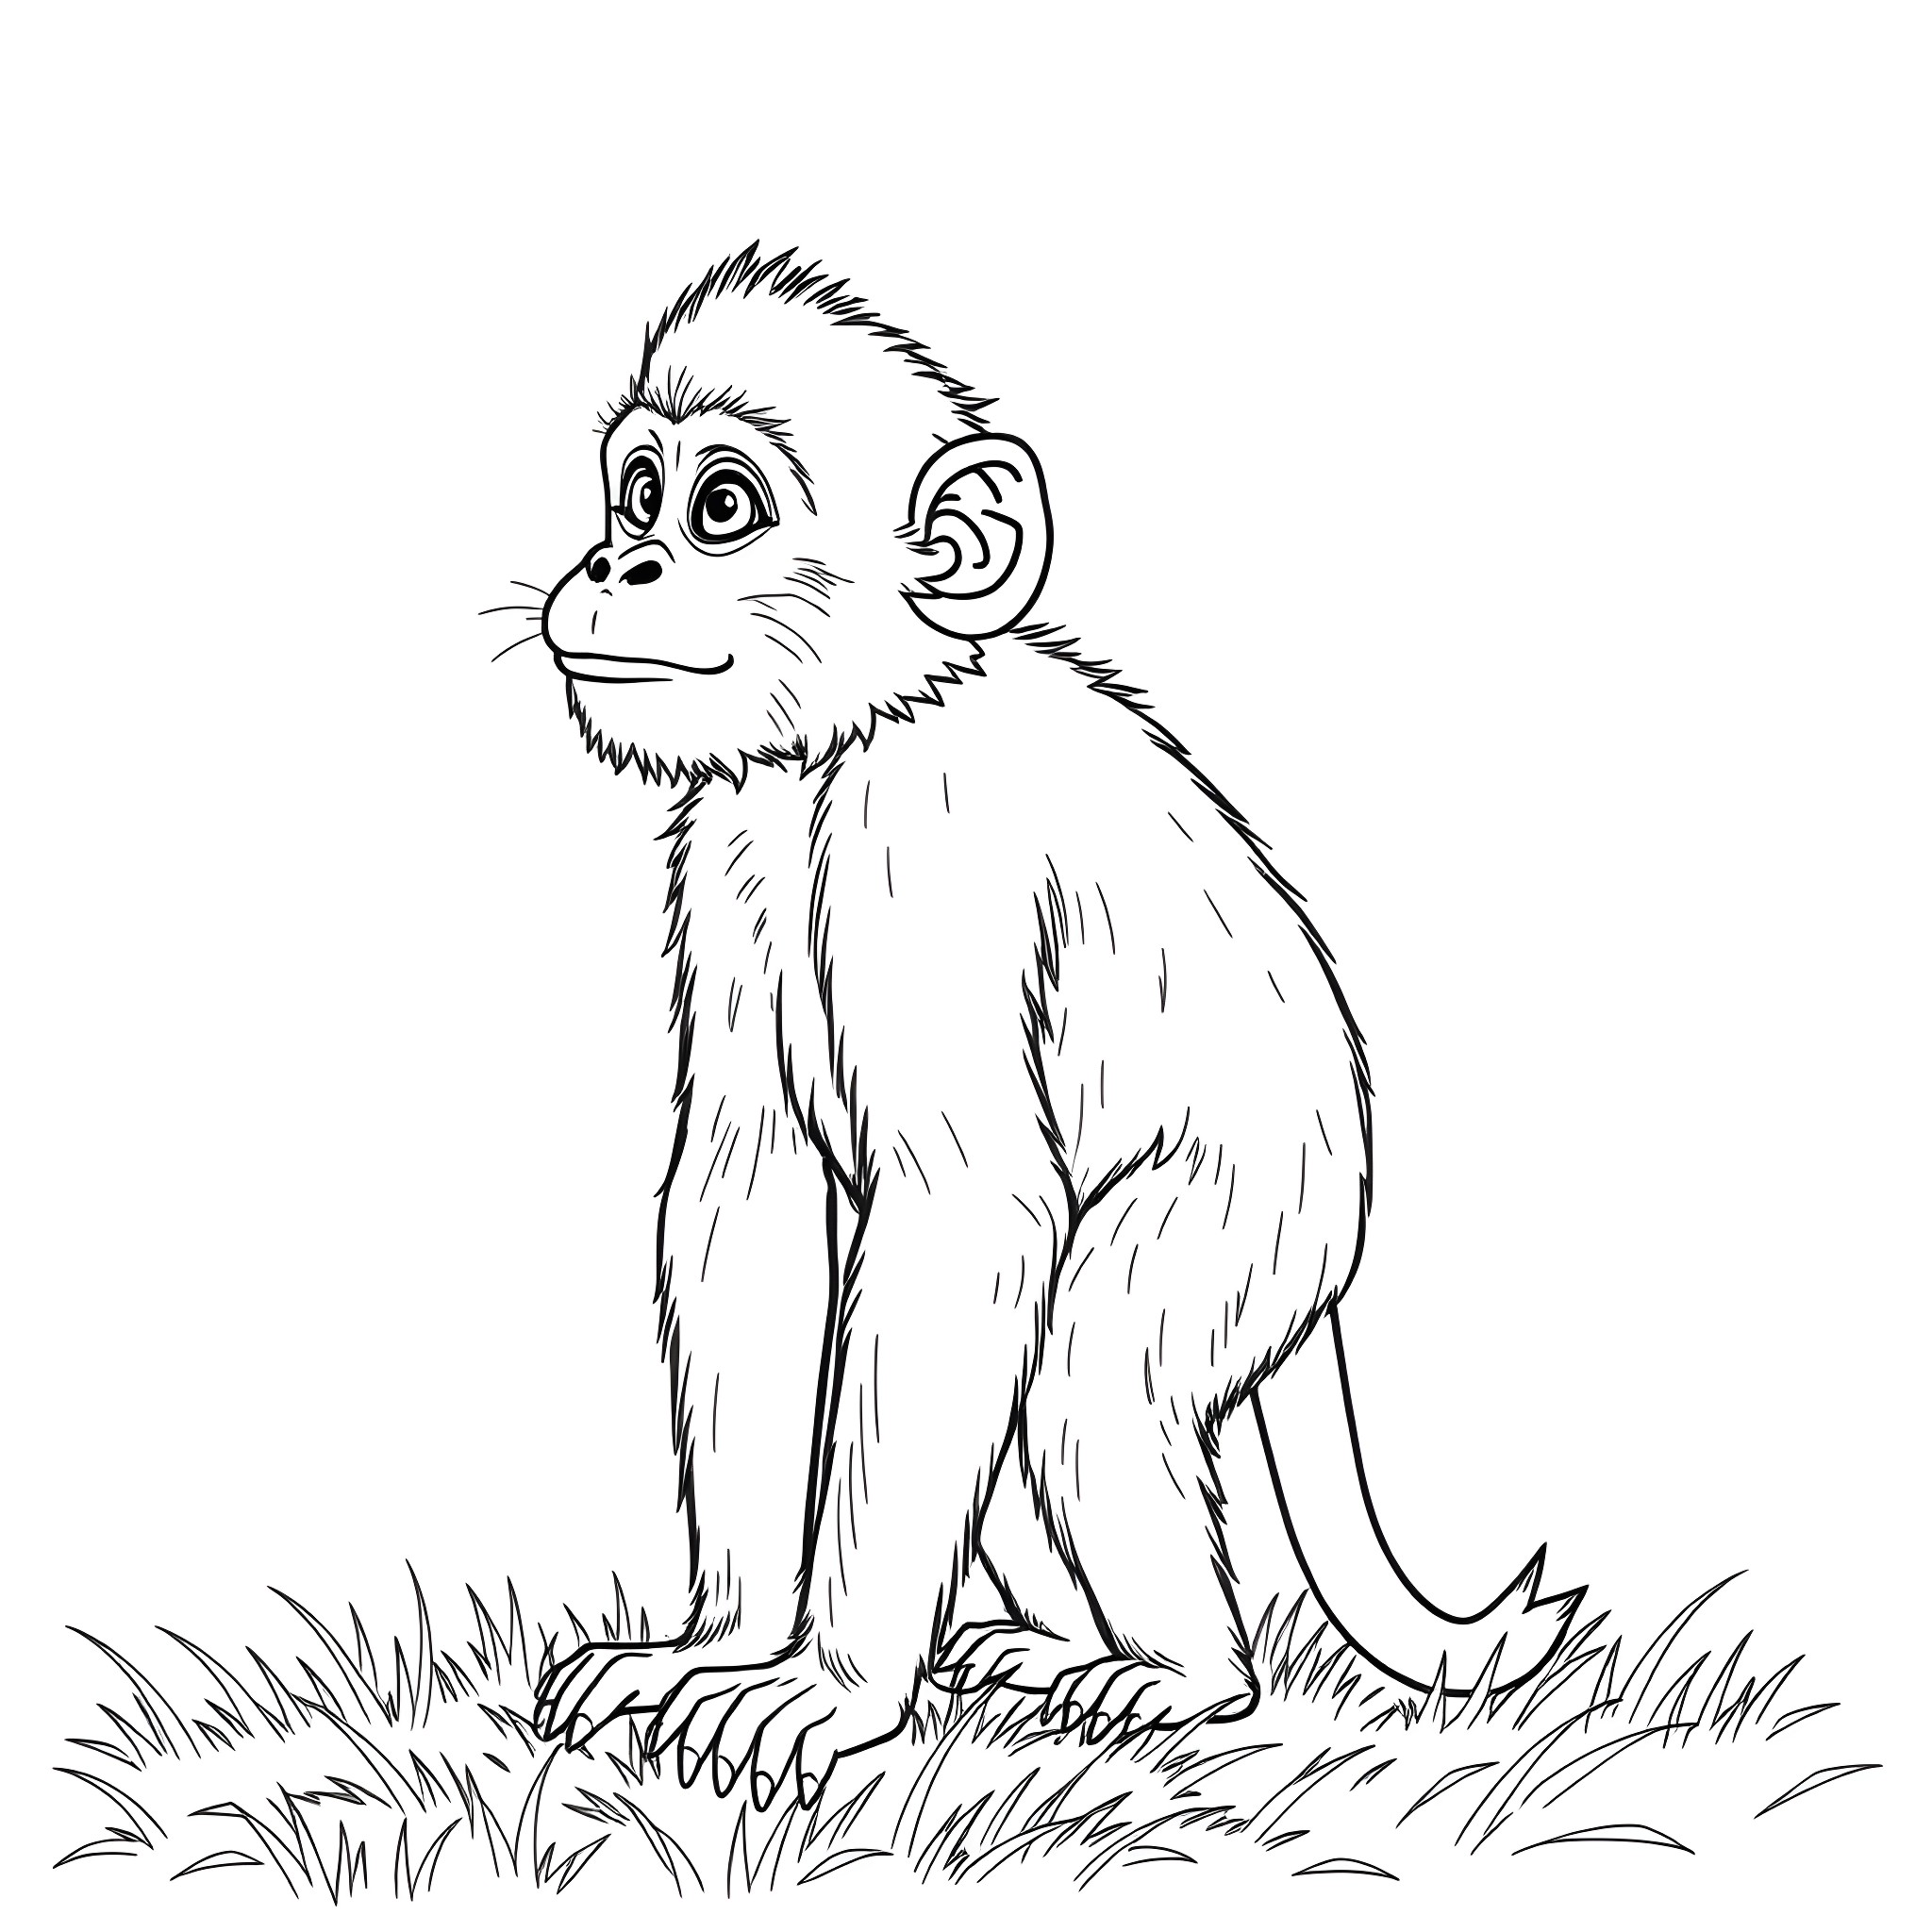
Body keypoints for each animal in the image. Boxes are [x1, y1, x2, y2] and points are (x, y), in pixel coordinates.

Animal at [525, 246, 1580, 1812]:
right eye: (635, 494)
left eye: (720, 509)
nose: (617, 567)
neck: (855, 731)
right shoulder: (726, 839)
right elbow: (745, 1197)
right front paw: (718, 1641)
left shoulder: (930, 855)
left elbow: (970, 1210)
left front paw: (829, 1688)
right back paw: (1051, 1644)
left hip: (1265, 1210)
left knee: (1087, 1366)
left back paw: (1186, 1678)